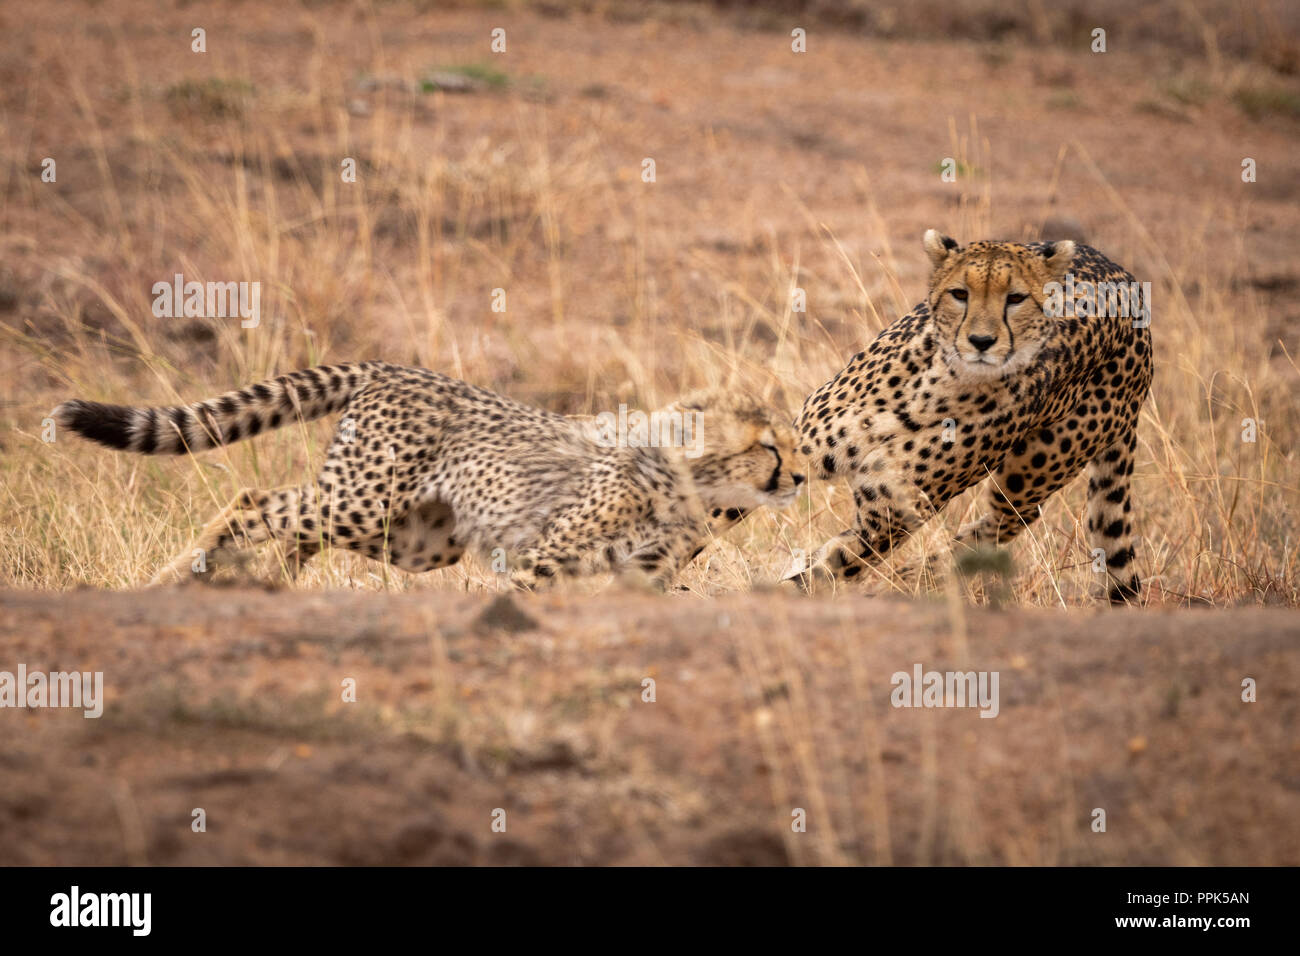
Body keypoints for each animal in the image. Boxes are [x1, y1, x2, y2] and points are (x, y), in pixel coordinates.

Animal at [53, 362, 804, 590]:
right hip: (364, 502)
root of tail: (388, 367)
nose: (800, 477)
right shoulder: (544, 558)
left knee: (293, 528)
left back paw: (266, 581)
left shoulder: (640, 576)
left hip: (416, 539)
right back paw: (178, 573)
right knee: (254, 498)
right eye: (770, 447)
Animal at [787, 230, 1153, 603]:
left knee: (1004, 524)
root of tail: (1125, 277)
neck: (938, 386)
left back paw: (916, 575)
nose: (981, 341)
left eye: (1016, 298)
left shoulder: (890, 518)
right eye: (960, 294)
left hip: (1031, 474)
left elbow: (834, 566)